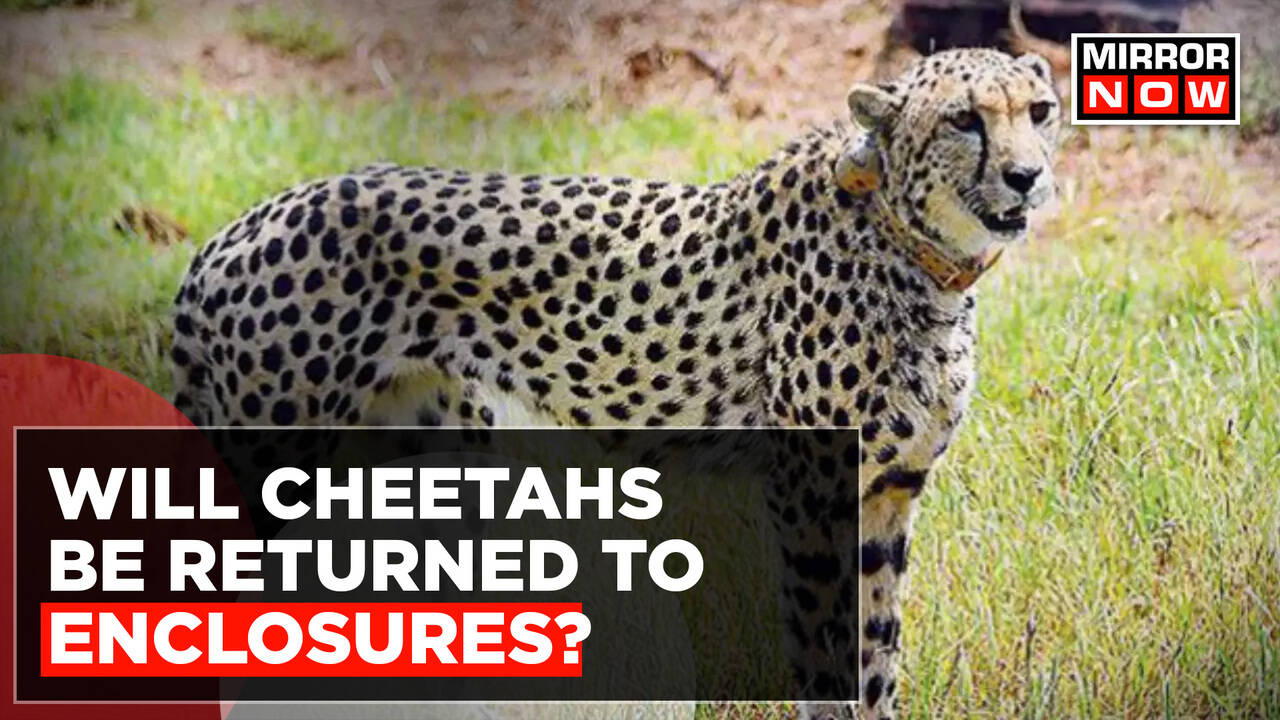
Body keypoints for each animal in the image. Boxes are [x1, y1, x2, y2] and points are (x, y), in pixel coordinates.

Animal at [170, 47, 1061, 718]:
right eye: (965, 119)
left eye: (1040, 111)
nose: (1026, 177)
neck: (915, 247)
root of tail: (234, 229)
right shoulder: (812, 489)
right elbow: (828, 651)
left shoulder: (888, 491)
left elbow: (878, 654)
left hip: (424, 461)